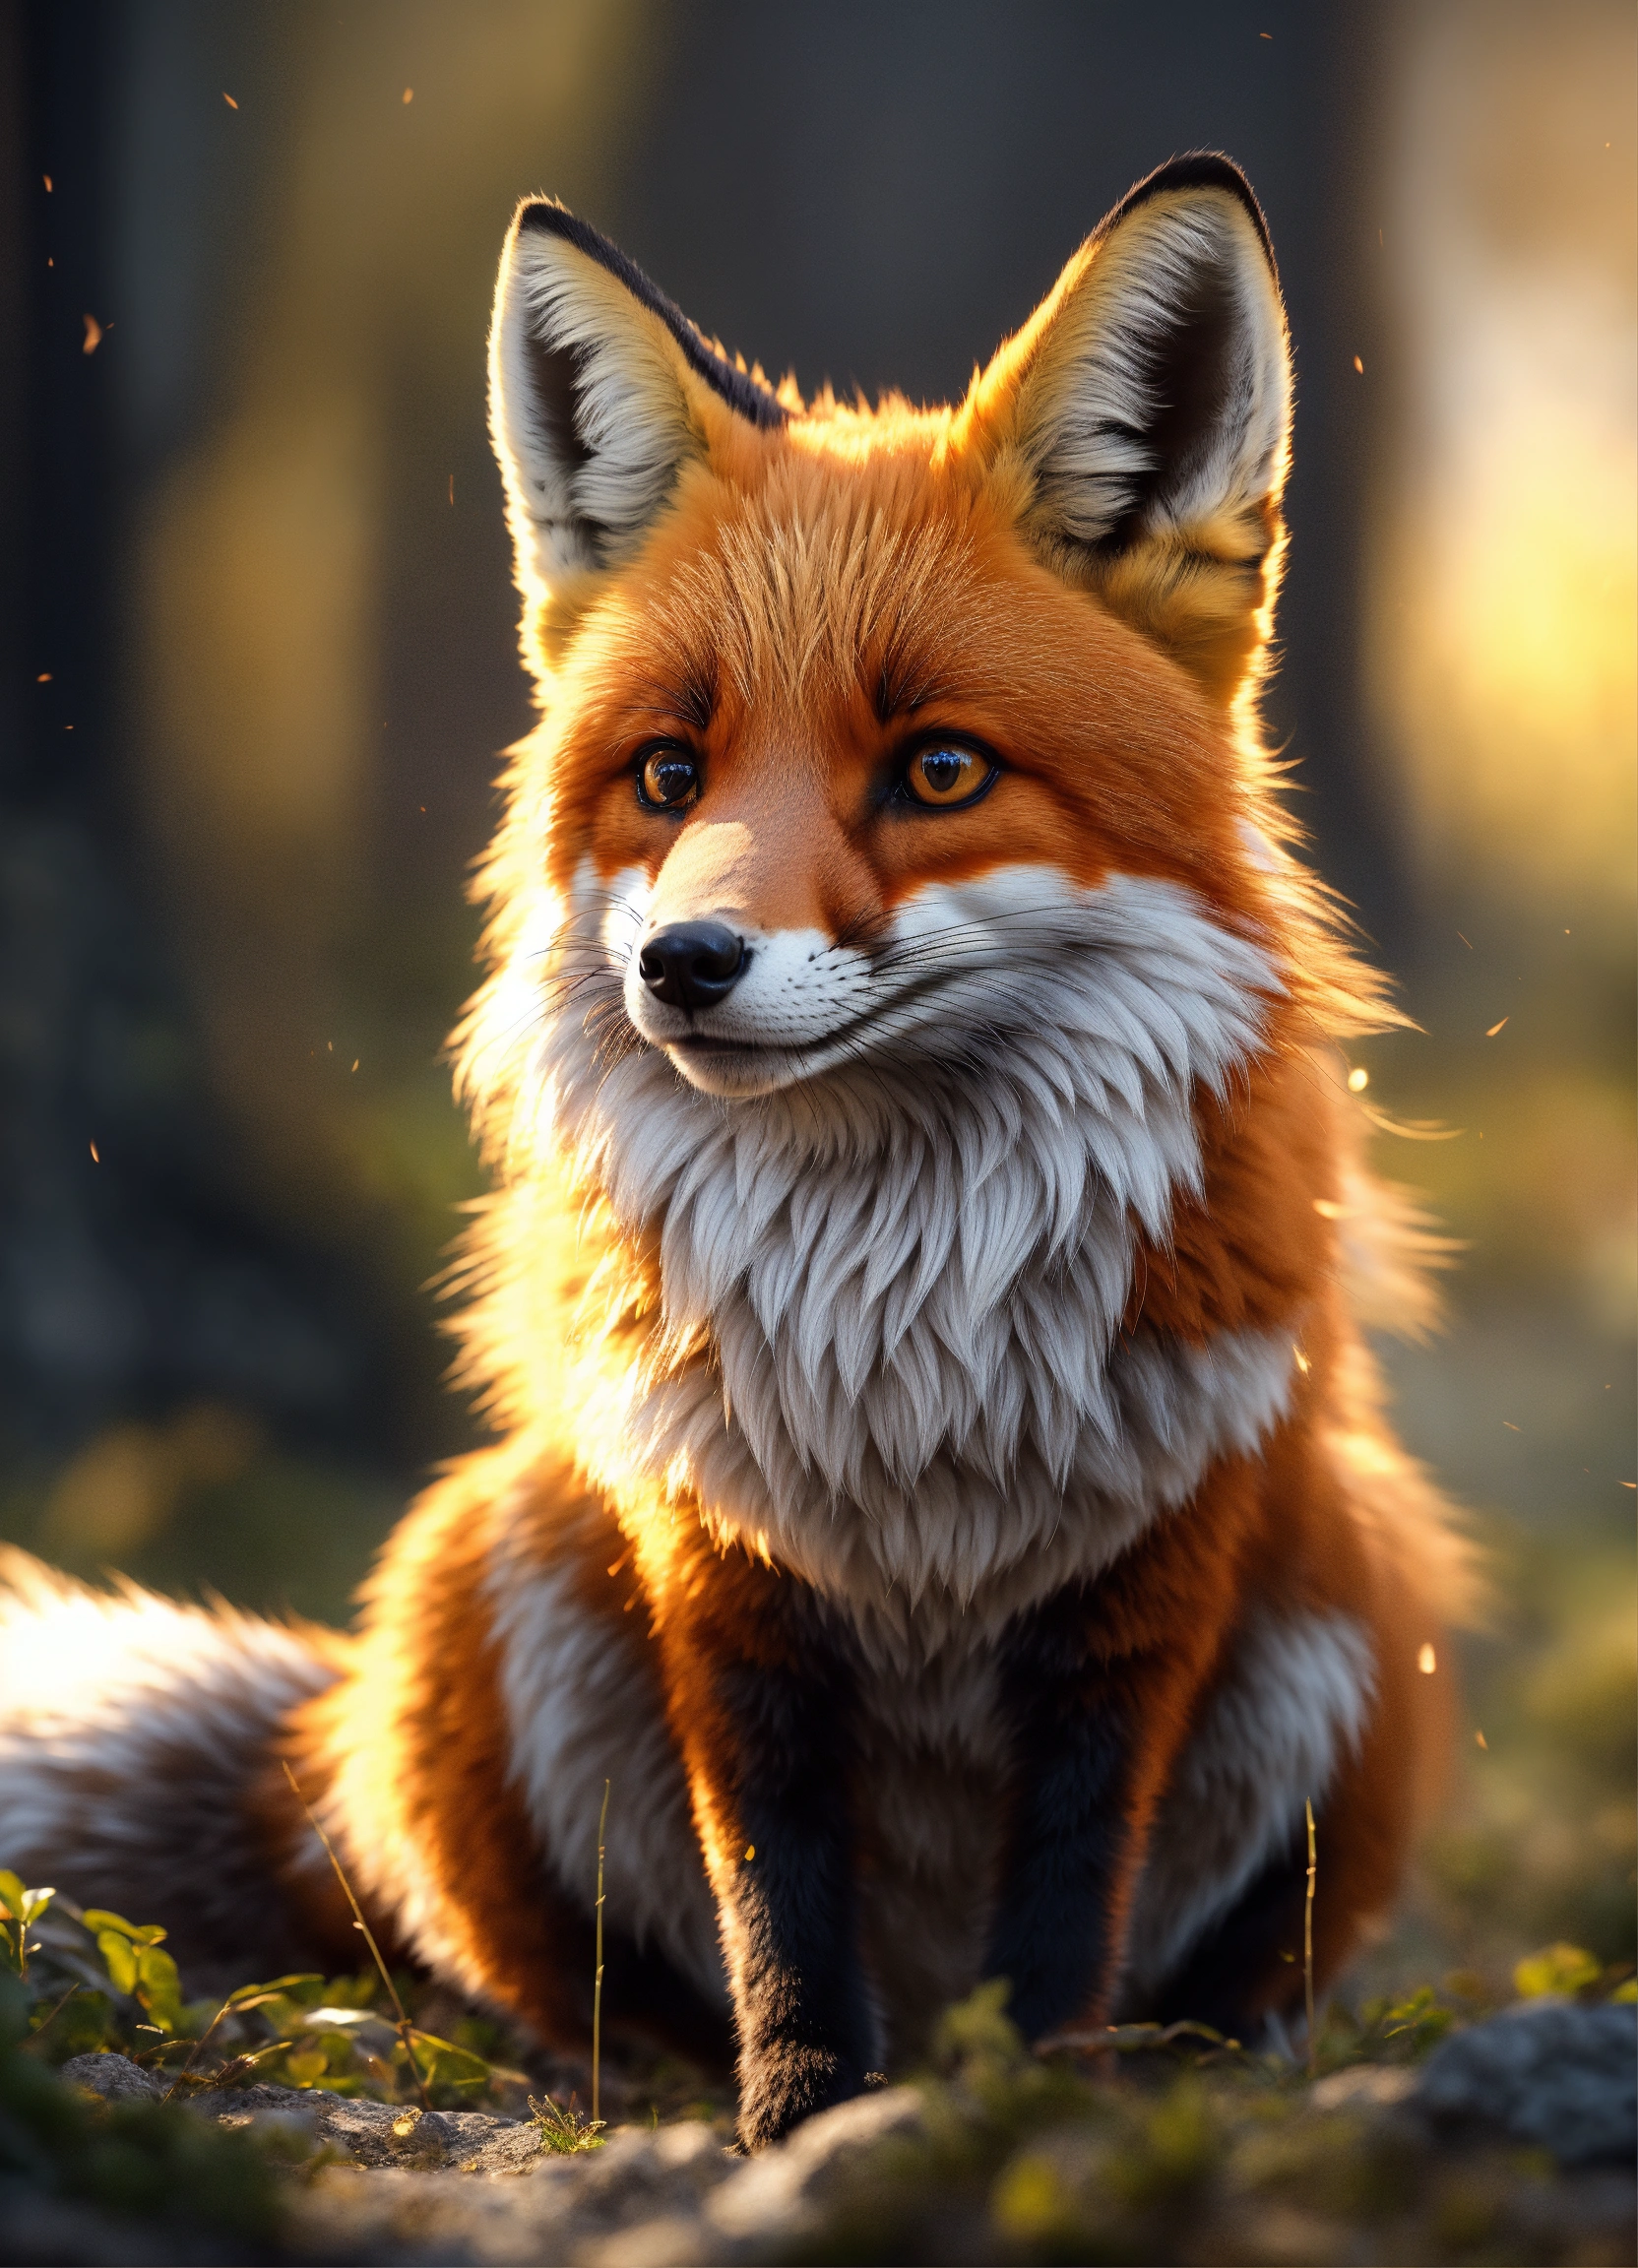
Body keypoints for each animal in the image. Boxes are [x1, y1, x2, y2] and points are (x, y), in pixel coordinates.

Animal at [0, 154, 1468, 2147]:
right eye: (669, 775)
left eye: (938, 771)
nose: (681, 963)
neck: (898, 1325)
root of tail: (319, 1754)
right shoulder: (713, 1550)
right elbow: (772, 1896)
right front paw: (804, 2122)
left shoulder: (1149, 1566)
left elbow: (1064, 1903)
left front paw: (1036, 2107)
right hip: (487, 1564)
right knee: (557, 1974)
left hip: (1359, 1599)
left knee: (1222, 1969)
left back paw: (1193, 2062)